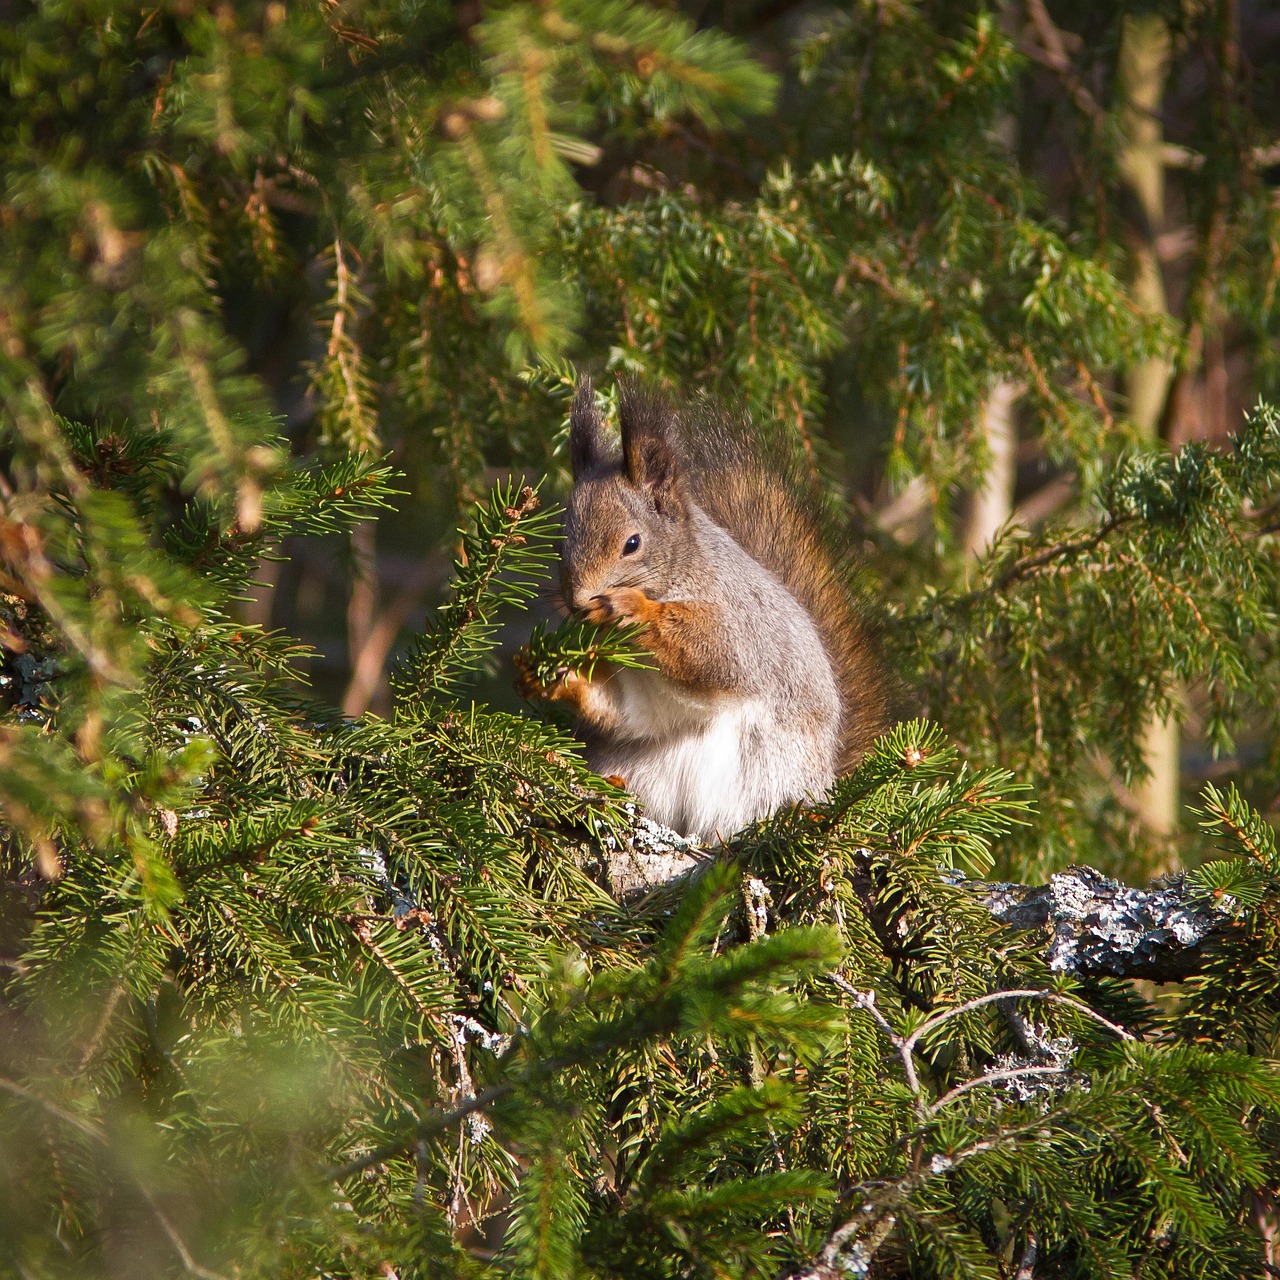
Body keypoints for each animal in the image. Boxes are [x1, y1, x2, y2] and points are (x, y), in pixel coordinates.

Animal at [519, 376, 888, 843]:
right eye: (560, 543)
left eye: (632, 544)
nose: (578, 603)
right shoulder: (640, 690)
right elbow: (630, 710)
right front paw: (556, 675)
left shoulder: (740, 621)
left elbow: (718, 655)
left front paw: (632, 608)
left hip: (770, 777)